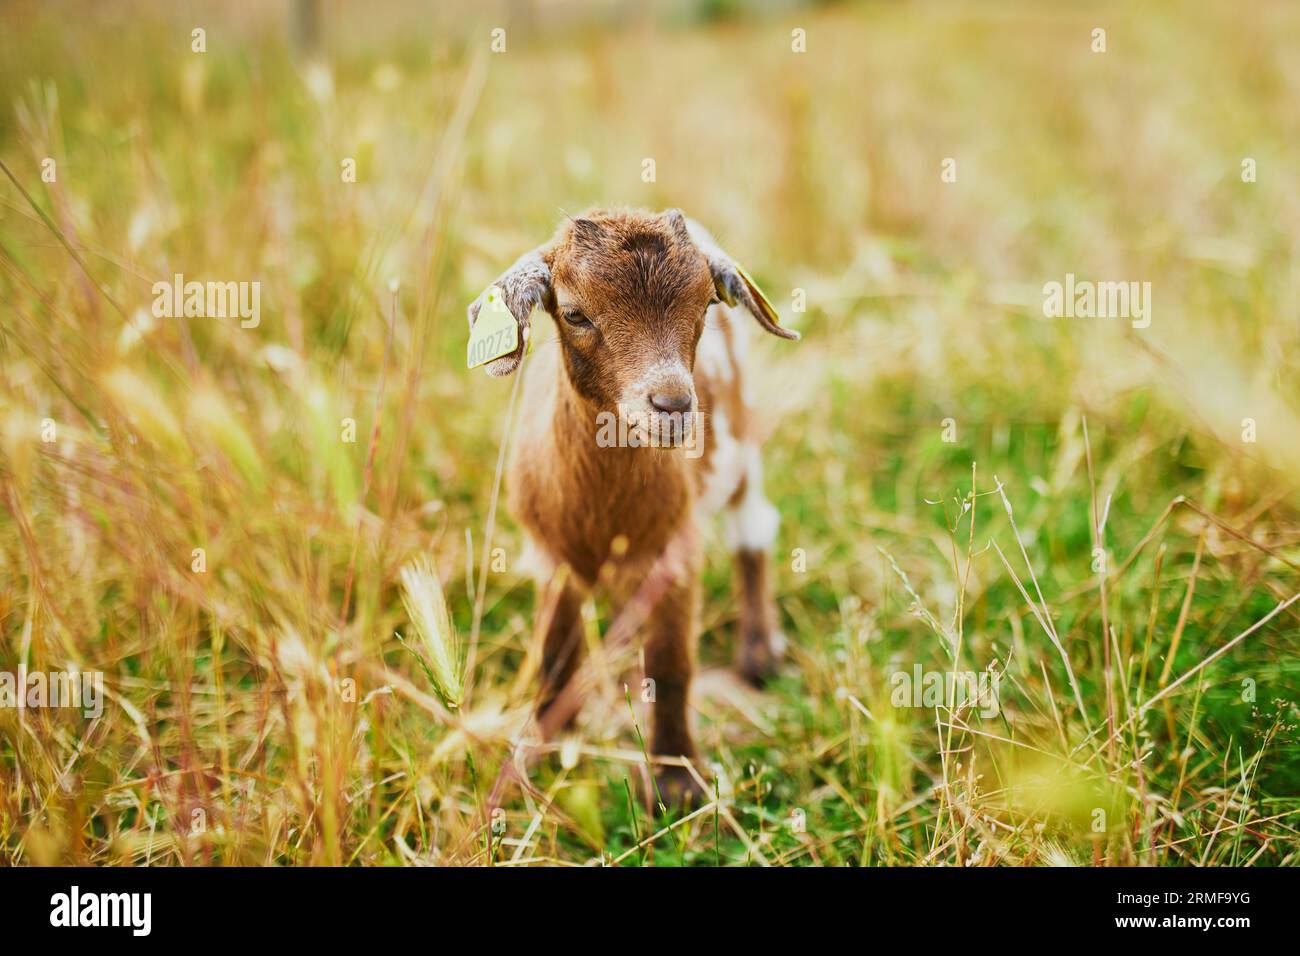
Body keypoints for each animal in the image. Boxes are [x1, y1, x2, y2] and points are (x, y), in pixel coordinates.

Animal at [466, 207, 798, 803]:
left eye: (706, 303)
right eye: (574, 312)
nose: (674, 405)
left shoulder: (676, 549)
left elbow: (671, 665)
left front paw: (677, 780)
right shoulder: (550, 556)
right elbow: (553, 655)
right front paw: (543, 748)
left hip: (743, 439)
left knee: (754, 527)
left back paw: (760, 653)